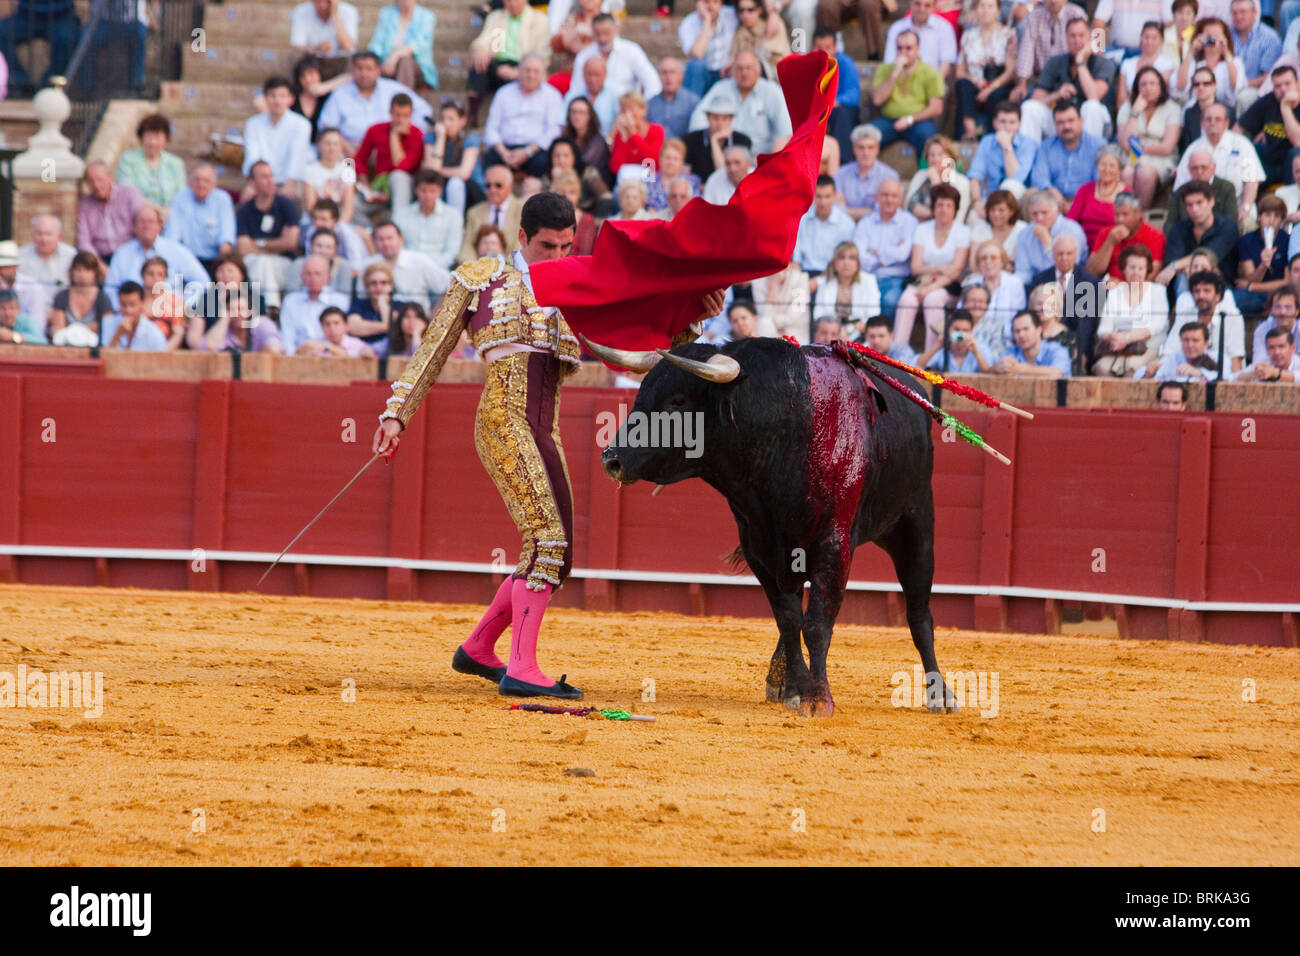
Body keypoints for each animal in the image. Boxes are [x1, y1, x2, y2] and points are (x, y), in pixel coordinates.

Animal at [585, 335, 958, 718]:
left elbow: (817, 622)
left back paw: (939, 694)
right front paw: (794, 689)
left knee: (918, 611)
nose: (611, 460)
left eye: (677, 401)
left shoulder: (834, 543)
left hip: (914, 524)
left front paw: (817, 698)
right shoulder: (760, 547)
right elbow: (789, 619)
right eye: (641, 393)